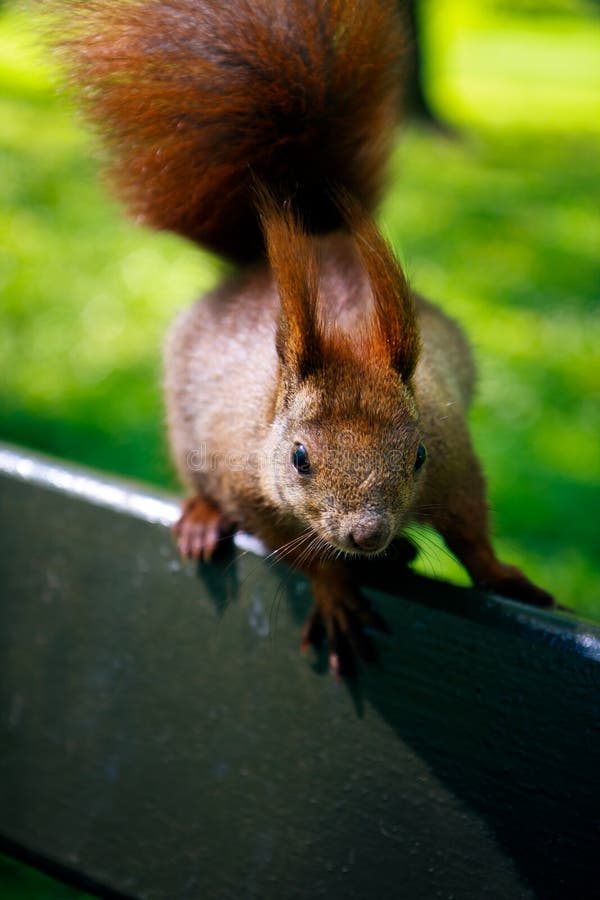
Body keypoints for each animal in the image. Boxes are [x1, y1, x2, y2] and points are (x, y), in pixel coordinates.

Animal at [48, 0, 554, 675]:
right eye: (298, 458)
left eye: (417, 455)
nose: (367, 534)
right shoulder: (250, 486)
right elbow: (299, 552)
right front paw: (336, 594)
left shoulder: (453, 457)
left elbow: (472, 533)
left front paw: (503, 578)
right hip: (187, 432)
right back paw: (204, 520)